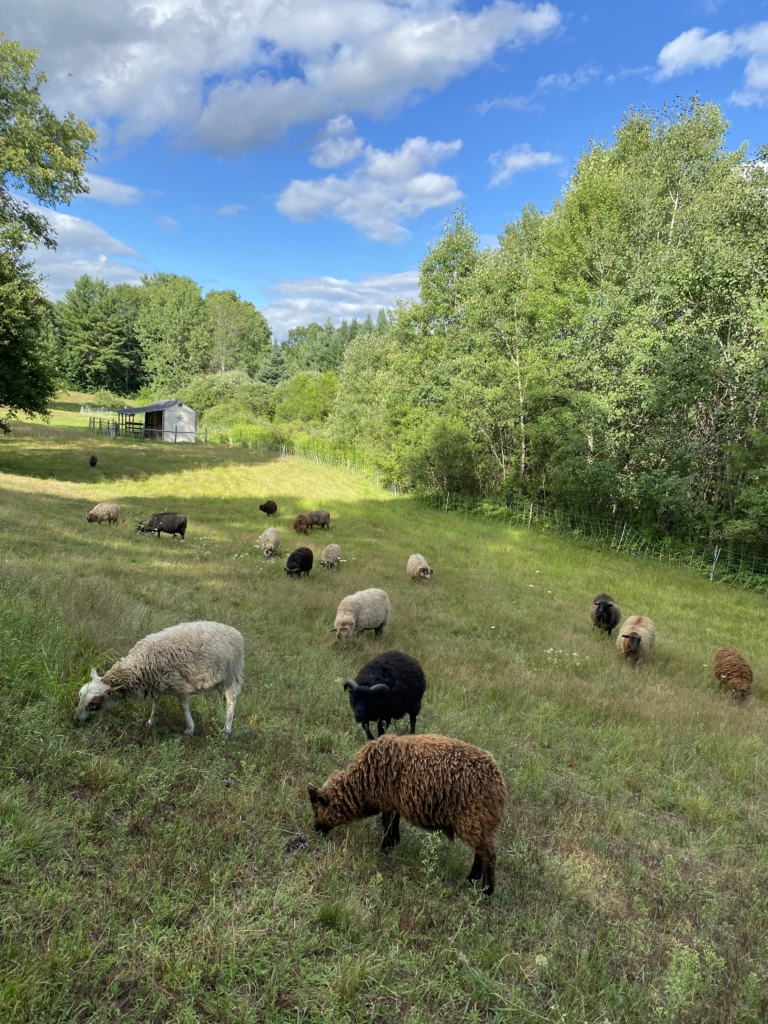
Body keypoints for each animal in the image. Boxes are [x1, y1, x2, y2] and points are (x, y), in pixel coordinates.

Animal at [74, 621, 244, 737]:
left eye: (94, 704)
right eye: (80, 696)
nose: (76, 720)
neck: (141, 662)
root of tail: (235, 632)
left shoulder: (179, 685)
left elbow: (183, 707)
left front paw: (190, 729)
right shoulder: (156, 683)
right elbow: (155, 702)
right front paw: (152, 721)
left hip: (232, 675)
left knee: (231, 701)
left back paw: (226, 731)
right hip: (221, 682)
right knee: (224, 700)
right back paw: (223, 720)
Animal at [308, 733, 507, 895]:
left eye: (317, 810)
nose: (316, 830)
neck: (361, 783)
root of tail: (499, 782)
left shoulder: (387, 802)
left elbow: (387, 825)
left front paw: (383, 850)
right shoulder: (395, 803)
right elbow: (393, 825)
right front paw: (393, 844)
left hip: (474, 819)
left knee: (488, 855)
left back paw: (486, 891)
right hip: (479, 823)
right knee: (480, 852)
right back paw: (472, 879)